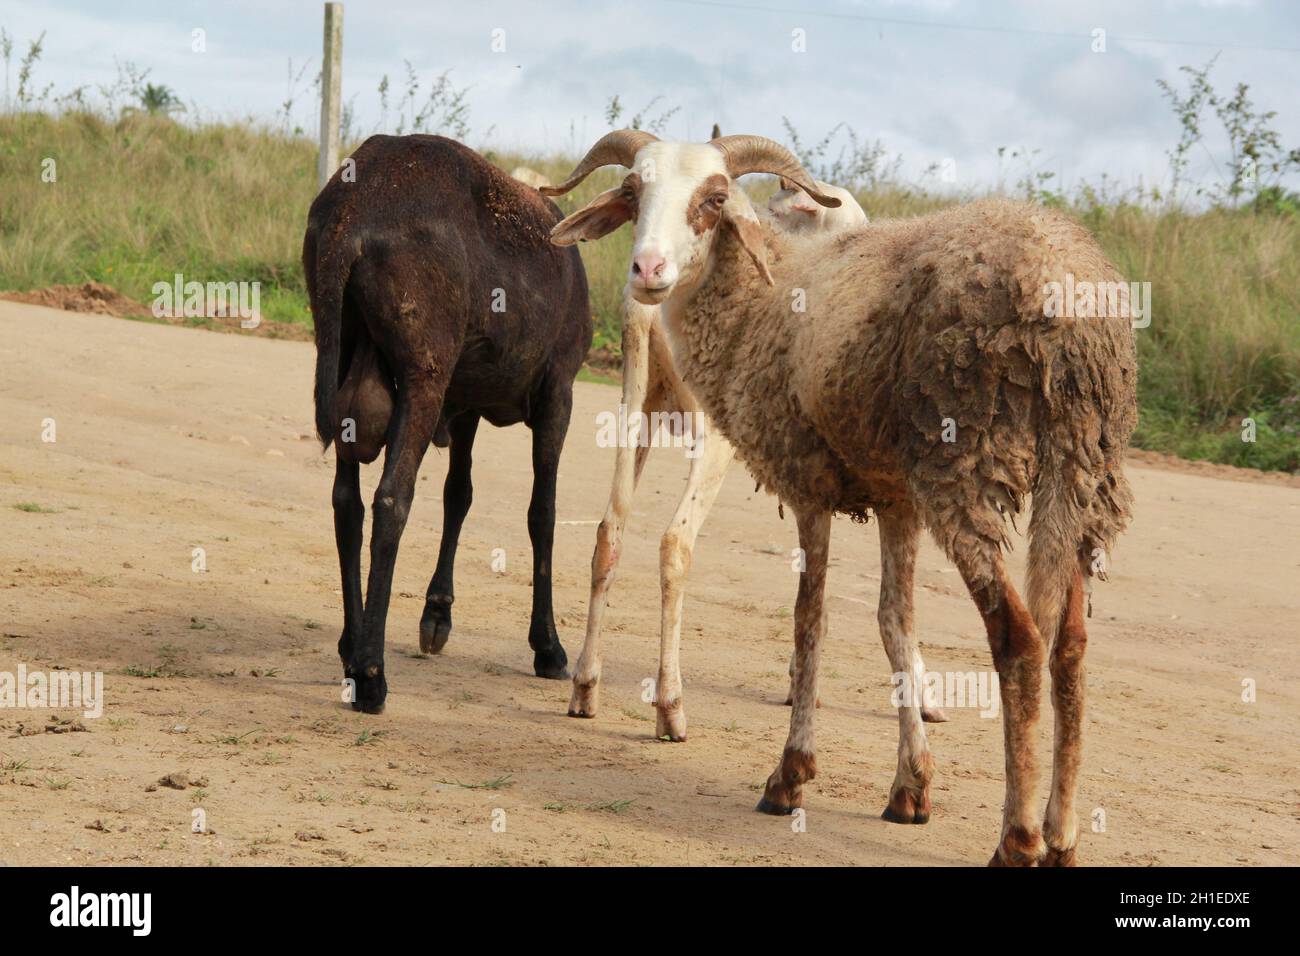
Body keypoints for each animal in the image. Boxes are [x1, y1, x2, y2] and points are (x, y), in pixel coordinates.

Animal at [304, 134, 592, 713]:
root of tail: (352, 214)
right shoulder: (559, 391)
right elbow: (543, 513)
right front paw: (547, 647)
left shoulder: (467, 404)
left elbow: (459, 495)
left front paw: (437, 614)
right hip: (425, 375)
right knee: (392, 500)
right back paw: (371, 674)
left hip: (344, 353)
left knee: (348, 504)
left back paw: (351, 648)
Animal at [543, 130, 1137, 866]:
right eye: (632, 191)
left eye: (714, 198)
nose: (647, 269)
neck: (754, 304)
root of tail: (1068, 291)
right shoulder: (896, 498)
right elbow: (894, 624)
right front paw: (911, 786)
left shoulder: (809, 483)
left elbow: (811, 620)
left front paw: (790, 775)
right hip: (1082, 471)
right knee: (1072, 647)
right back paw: (1061, 835)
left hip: (964, 464)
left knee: (1021, 641)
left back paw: (1019, 837)